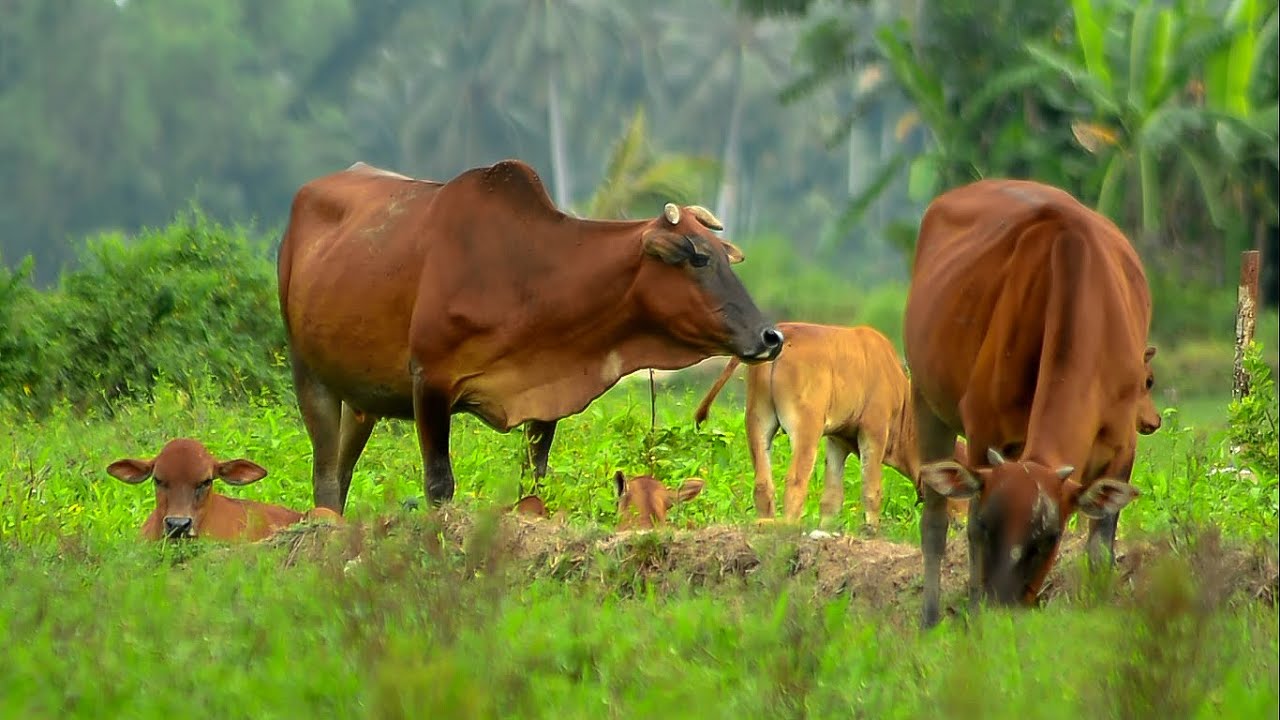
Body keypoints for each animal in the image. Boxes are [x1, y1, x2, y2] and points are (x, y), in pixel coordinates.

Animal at [277, 160, 783, 514]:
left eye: (724, 255)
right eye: (698, 258)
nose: (770, 337)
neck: (531, 277)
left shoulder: (547, 398)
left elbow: (535, 480)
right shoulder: (430, 382)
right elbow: (439, 484)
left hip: (362, 398)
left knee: (342, 470)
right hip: (310, 375)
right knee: (325, 474)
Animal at [692, 322, 965, 532]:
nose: (962, 522)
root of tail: (782, 331)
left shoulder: (836, 440)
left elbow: (831, 498)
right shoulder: (874, 431)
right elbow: (872, 490)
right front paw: (871, 530)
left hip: (758, 421)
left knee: (762, 484)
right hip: (806, 427)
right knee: (795, 480)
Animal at [904, 179, 1161, 629]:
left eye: (1050, 537)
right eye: (991, 526)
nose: (1003, 605)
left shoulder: (1122, 445)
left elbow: (1100, 550)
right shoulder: (983, 430)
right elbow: (968, 530)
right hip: (926, 401)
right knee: (935, 520)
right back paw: (931, 620)